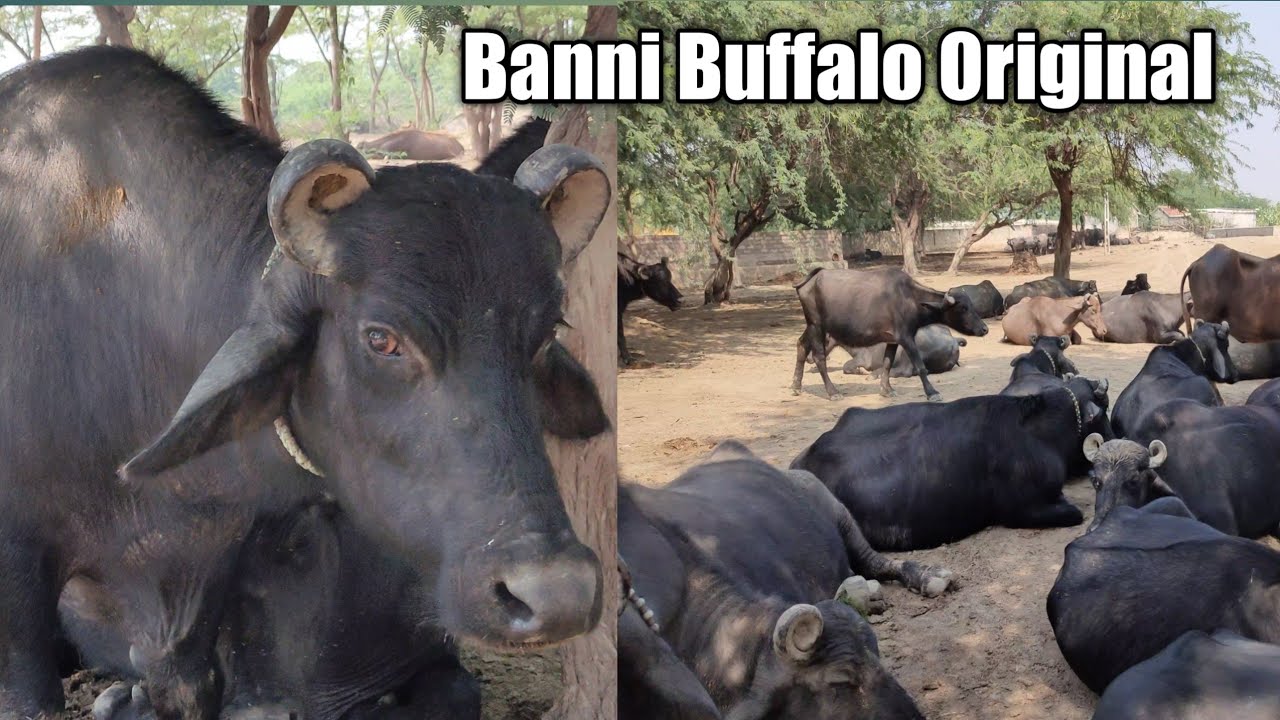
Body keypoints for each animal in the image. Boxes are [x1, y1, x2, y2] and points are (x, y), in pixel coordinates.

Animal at [791, 268, 988, 402]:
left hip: (811, 326)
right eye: (963, 308)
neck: (910, 299)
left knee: (801, 345)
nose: (984, 329)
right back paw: (833, 392)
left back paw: (796, 386)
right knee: (819, 357)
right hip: (817, 326)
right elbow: (920, 367)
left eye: (971, 305)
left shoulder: (892, 340)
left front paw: (886, 390)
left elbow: (887, 363)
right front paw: (932, 392)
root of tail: (813, 277)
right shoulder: (906, 338)